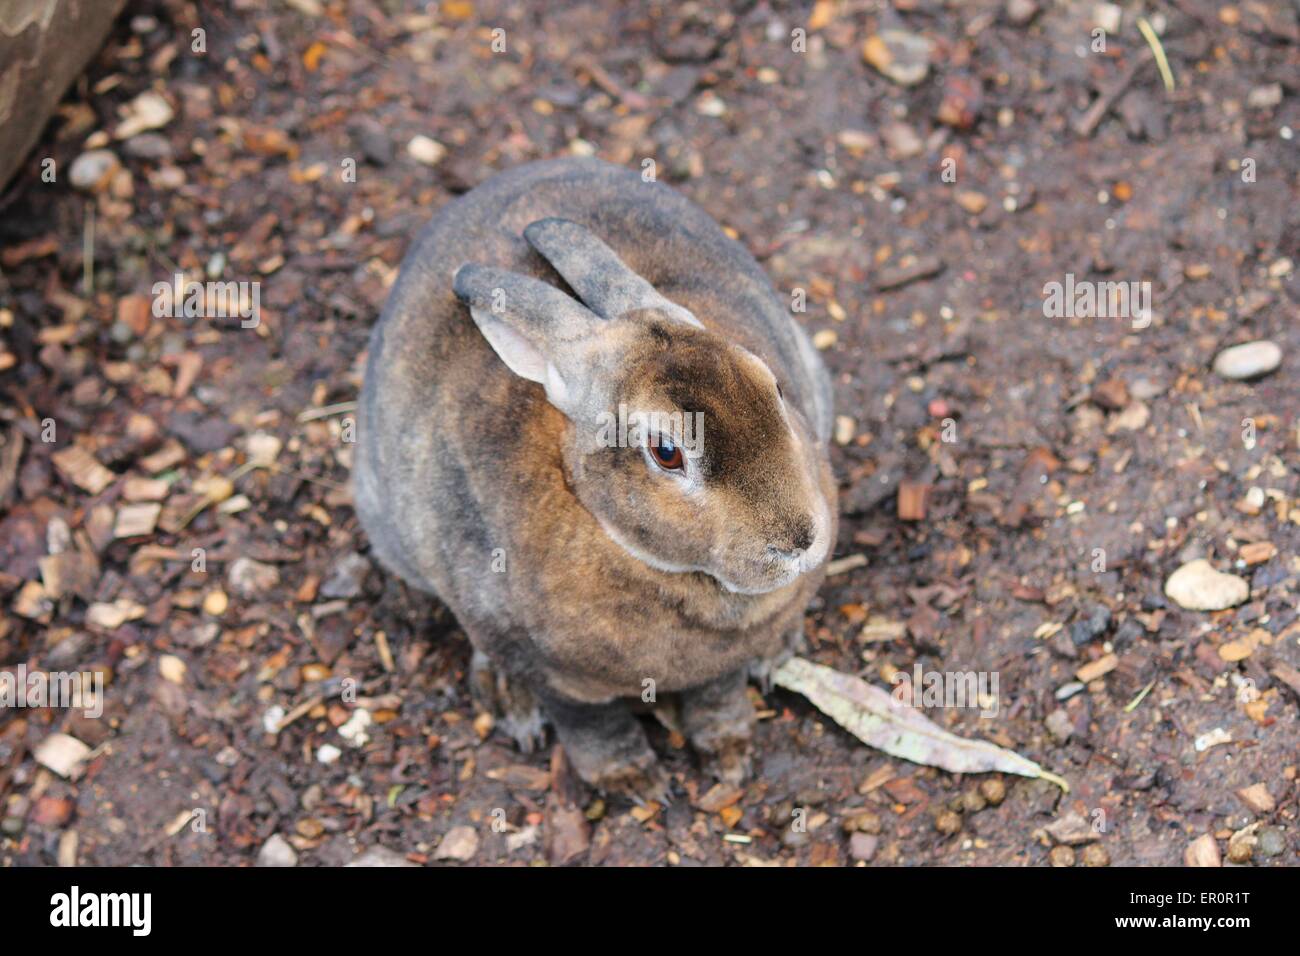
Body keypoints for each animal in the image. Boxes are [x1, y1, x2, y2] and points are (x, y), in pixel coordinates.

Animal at [354, 157, 837, 800]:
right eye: (666, 453)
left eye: (771, 384)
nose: (799, 541)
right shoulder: (551, 673)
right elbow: (589, 724)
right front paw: (633, 782)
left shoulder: (720, 667)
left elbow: (718, 694)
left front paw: (730, 753)